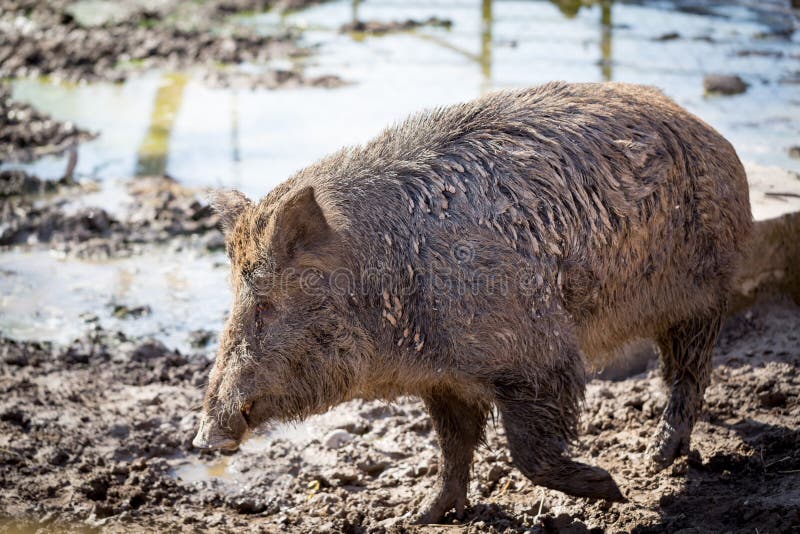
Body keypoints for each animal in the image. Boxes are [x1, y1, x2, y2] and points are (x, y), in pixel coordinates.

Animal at [193, 82, 752, 523]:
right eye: (234, 299)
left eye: (265, 303)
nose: (204, 439)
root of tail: (710, 133)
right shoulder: (443, 381)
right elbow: (453, 446)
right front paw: (419, 517)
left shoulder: (539, 352)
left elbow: (528, 451)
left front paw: (612, 491)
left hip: (702, 290)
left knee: (688, 369)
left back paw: (658, 460)